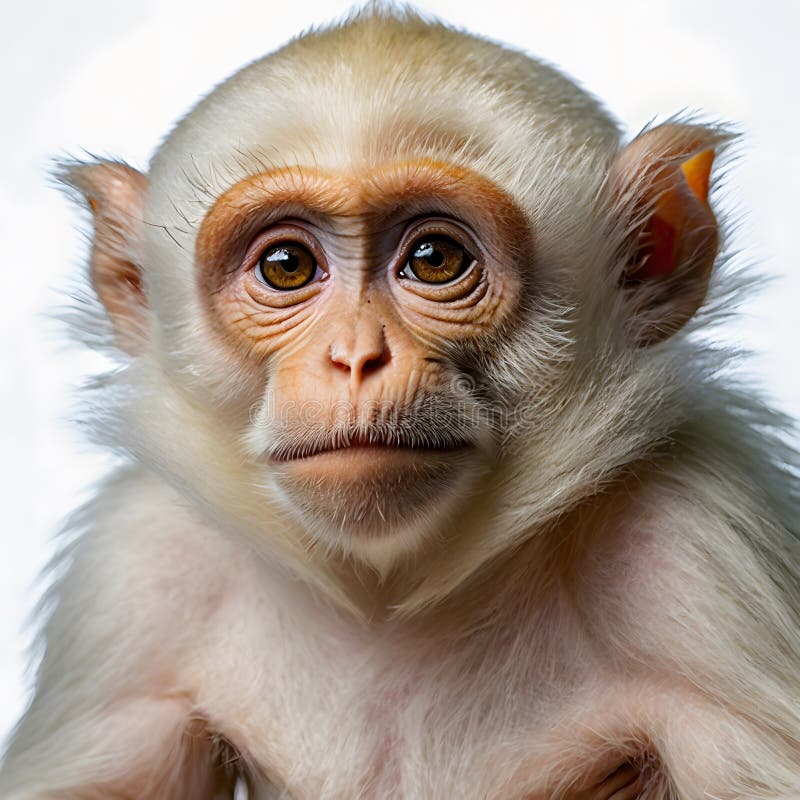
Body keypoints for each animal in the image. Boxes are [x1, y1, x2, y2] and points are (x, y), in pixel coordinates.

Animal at [1, 6, 799, 799]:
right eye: (286, 266)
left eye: (434, 259)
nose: (356, 357)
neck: (389, 602)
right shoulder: (132, 572)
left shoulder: (702, 543)